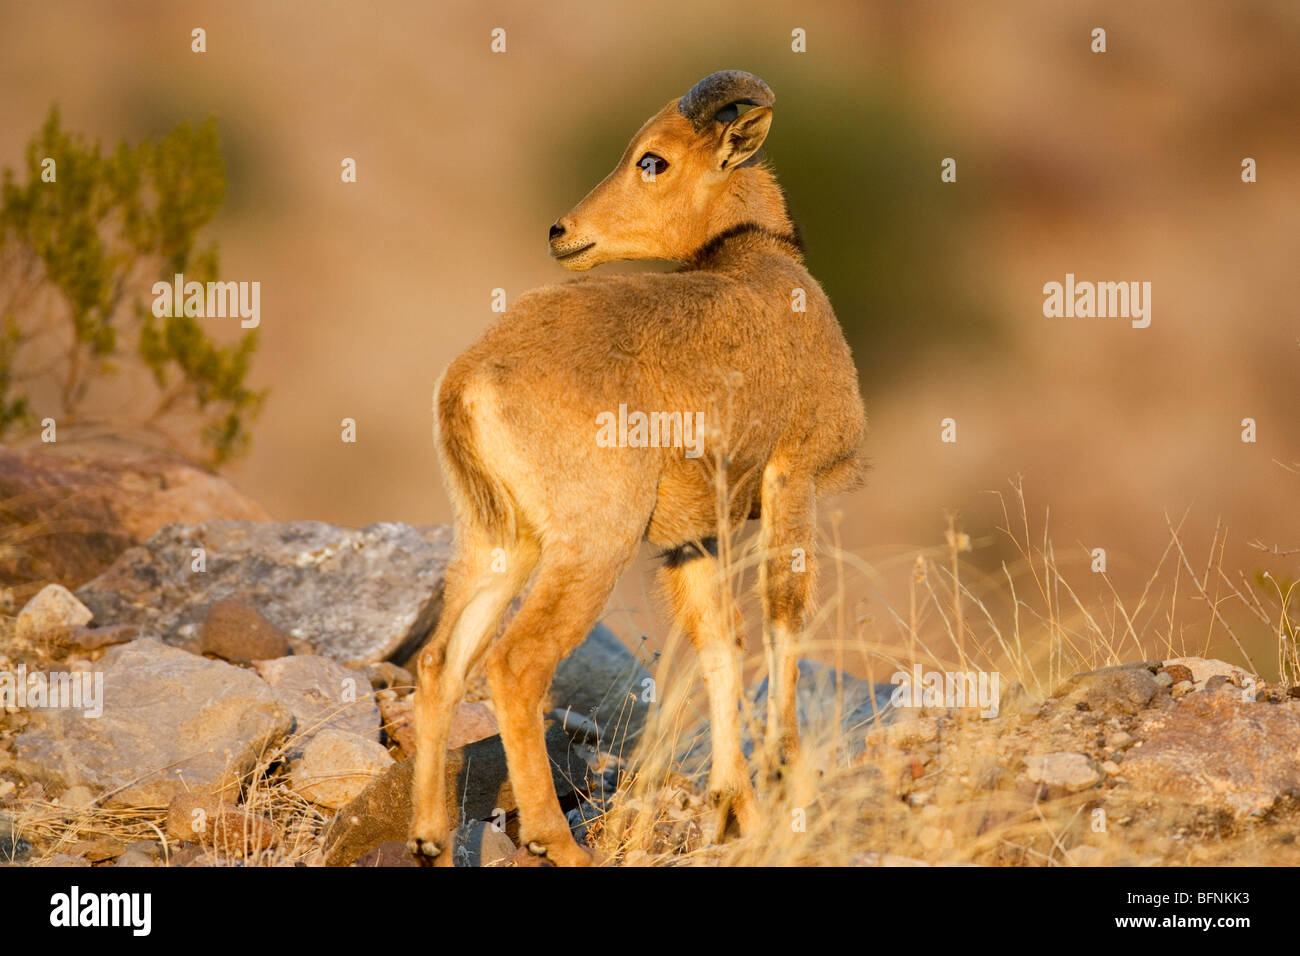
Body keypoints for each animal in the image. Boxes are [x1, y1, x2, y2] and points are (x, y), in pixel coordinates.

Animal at [409, 70, 866, 866]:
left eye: (652, 160)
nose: (561, 231)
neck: (762, 266)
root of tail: (469, 379)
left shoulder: (693, 538)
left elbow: (720, 643)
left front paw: (736, 808)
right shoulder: (793, 476)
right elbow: (783, 616)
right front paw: (785, 783)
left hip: (498, 537)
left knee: (442, 660)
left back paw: (431, 836)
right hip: (591, 546)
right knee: (516, 665)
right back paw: (556, 842)